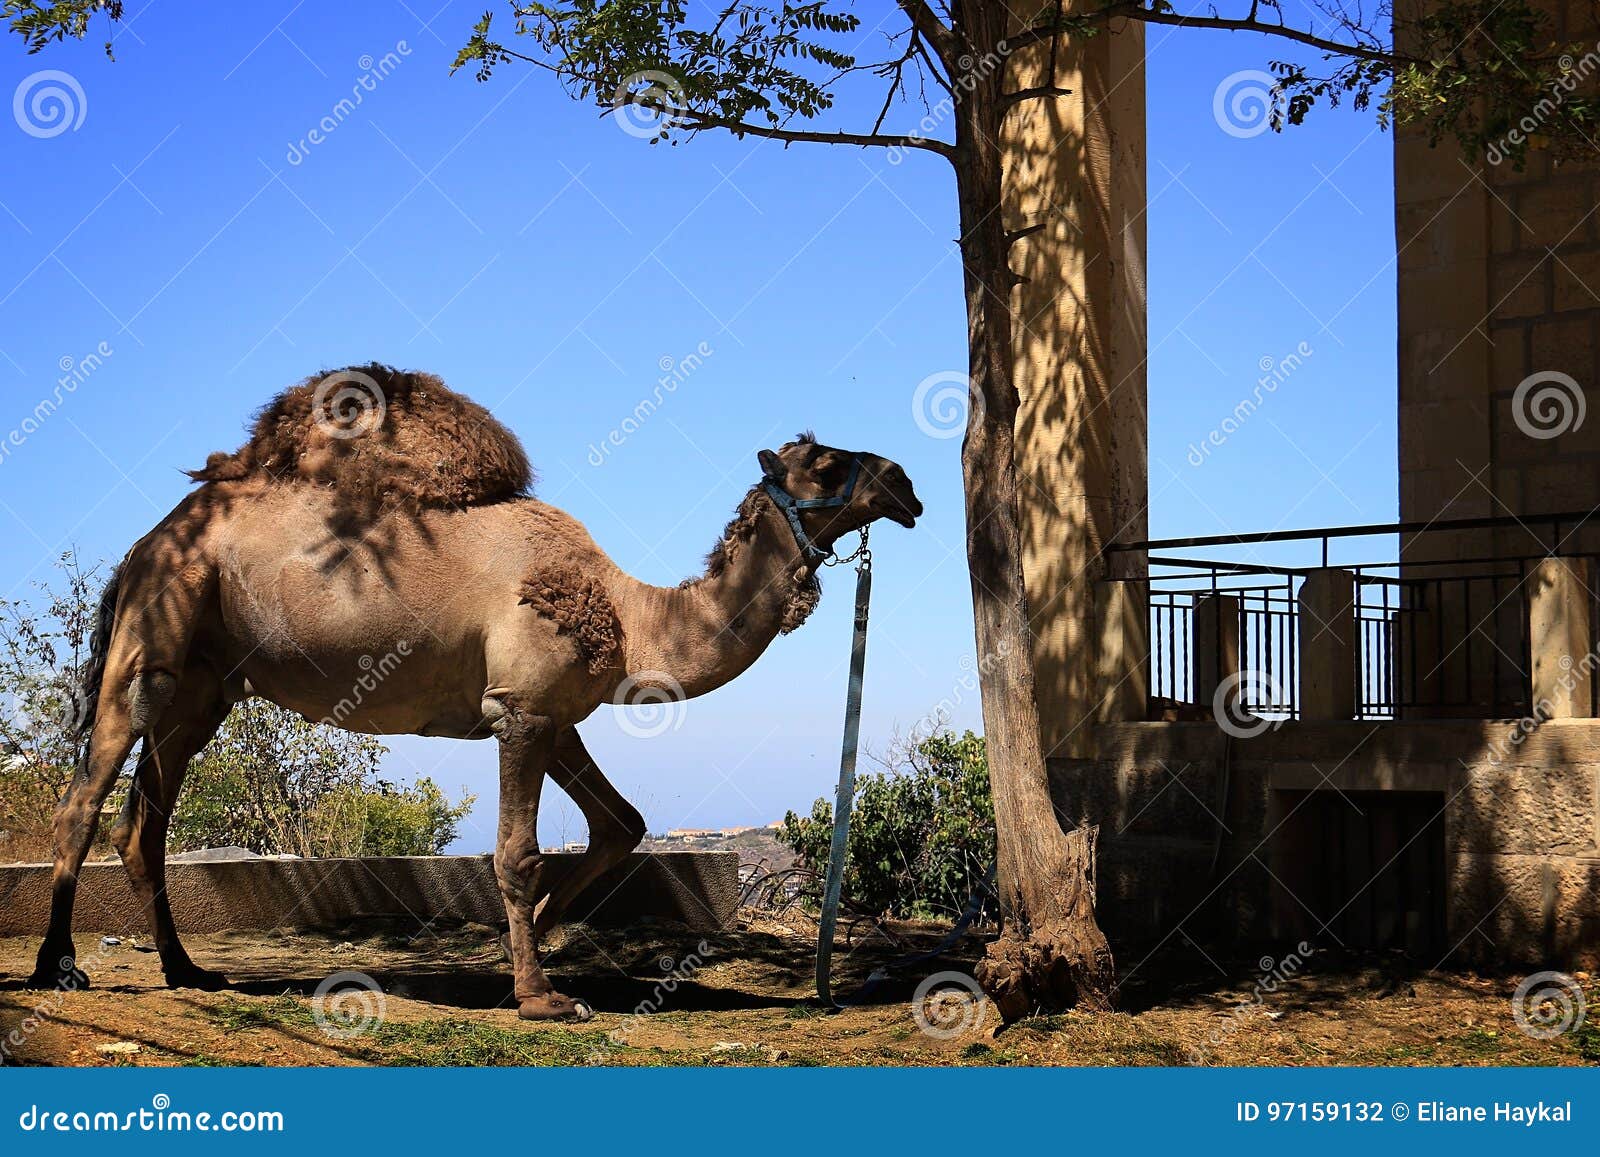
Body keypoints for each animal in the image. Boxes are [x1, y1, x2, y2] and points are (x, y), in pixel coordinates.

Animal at [27, 365, 922, 1020]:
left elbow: (622, 825)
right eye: (827, 462)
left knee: (144, 820)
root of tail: (145, 541)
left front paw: (524, 950)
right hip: (155, 629)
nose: (907, 484)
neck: (630, 615)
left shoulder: (555, 712)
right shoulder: (520, 709)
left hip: (205, 684)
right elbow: (518, 851)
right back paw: (54, 967)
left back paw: (188, 970)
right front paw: (540, 998)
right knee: (83, 800)